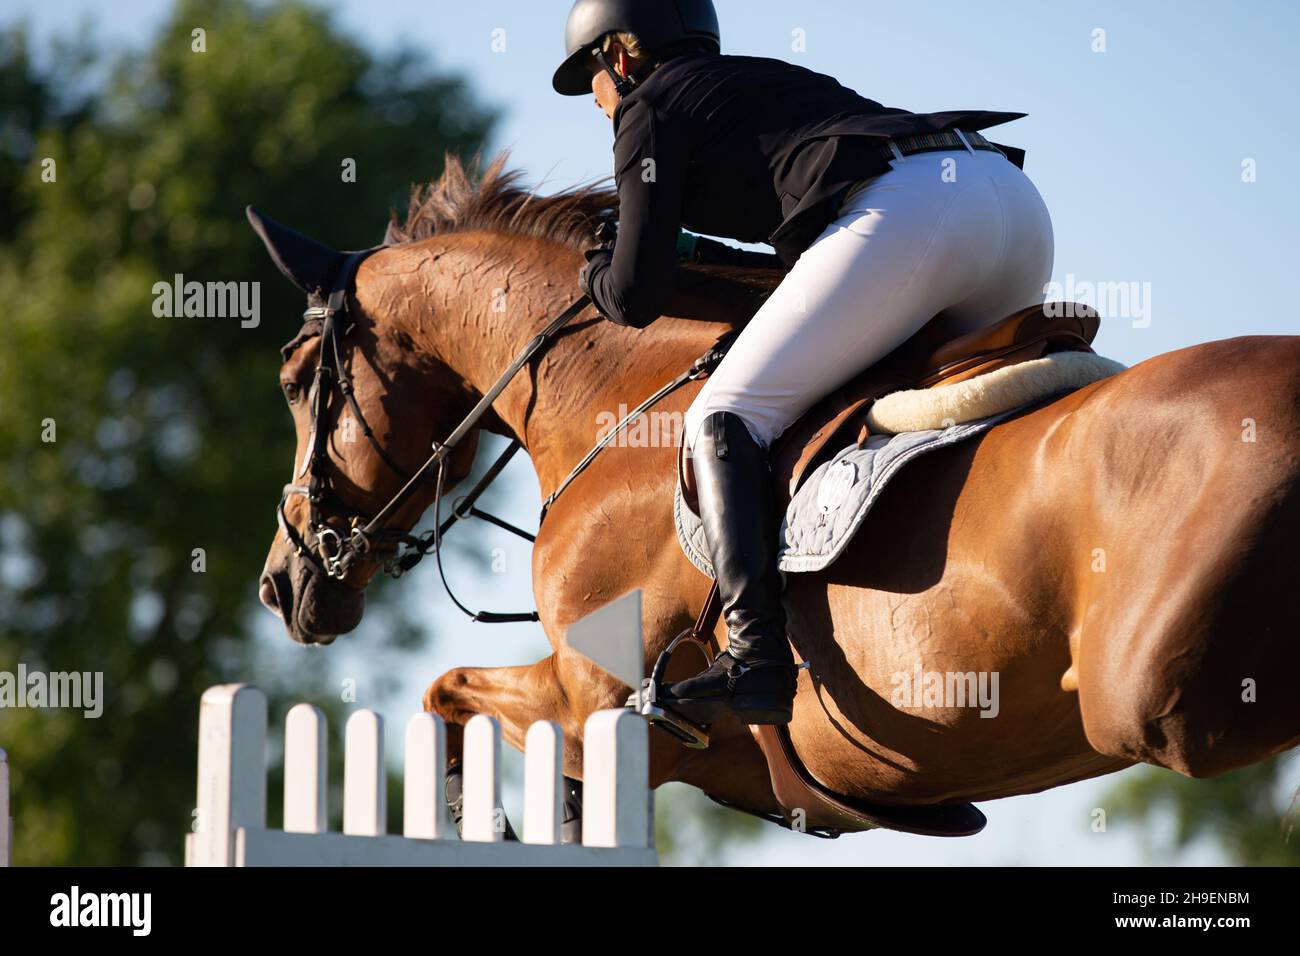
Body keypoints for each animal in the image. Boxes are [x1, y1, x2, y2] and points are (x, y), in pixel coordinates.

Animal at [255, 155, 1300, 828]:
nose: (281, 583)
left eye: (299, 380)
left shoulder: (595, 707)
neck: (617, 402)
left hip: (1159, 701)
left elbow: (446, 692)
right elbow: (453, 697)